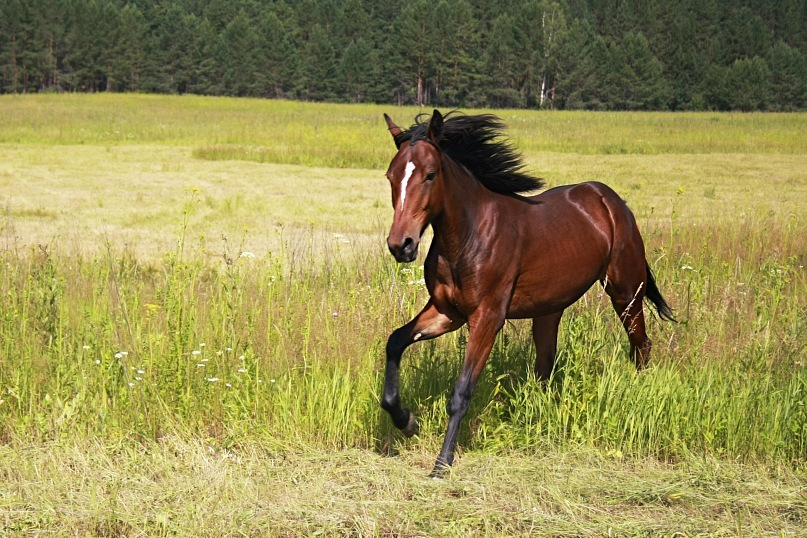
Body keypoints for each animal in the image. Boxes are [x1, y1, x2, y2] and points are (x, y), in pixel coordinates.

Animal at [380, 109, 676, 474]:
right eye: (391, 176)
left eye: (430, 174)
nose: (401, 245)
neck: (468, 235)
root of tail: (611, 201)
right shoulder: (447, 313)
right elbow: (395, 341)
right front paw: (406, 421)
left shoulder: (487, 317)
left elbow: (462, 391)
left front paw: (442, 463)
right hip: (550, 309)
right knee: (546, 365)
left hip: (625, 291)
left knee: (640, 345)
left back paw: (638, 394)